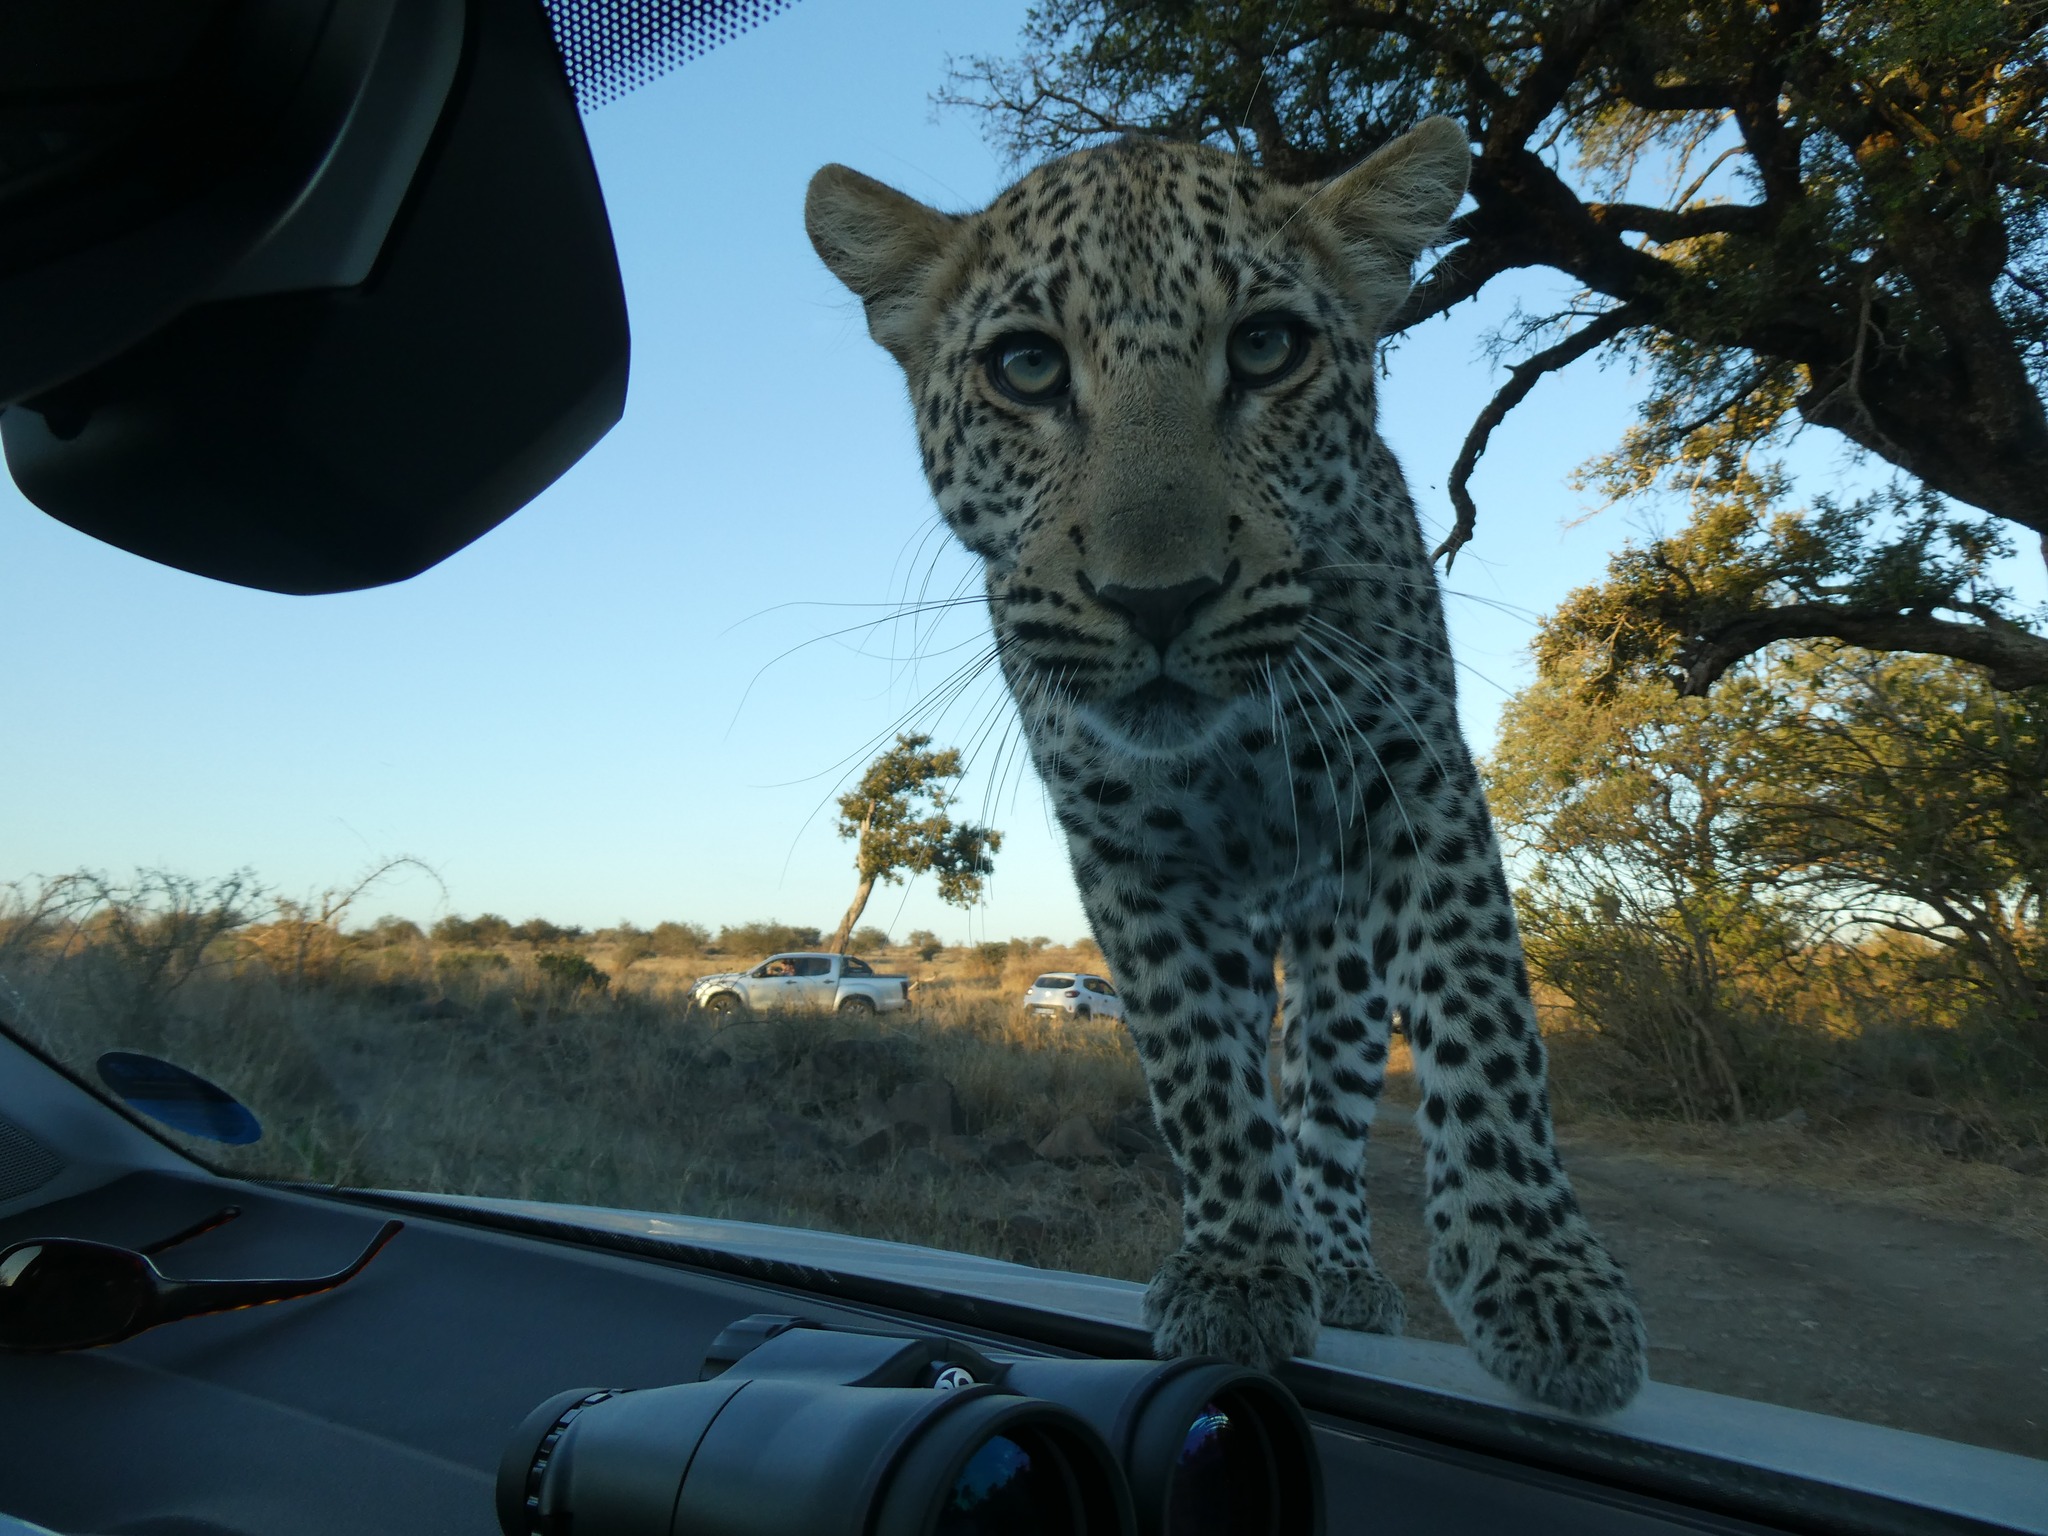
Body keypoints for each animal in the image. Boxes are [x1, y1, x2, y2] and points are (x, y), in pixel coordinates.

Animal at [804, 116, 1647, 1415]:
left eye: (1264, 347)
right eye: (1026, 368)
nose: (1157, 600)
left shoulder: (1417, 787)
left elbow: (1483, 1018)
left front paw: (1540, 1276)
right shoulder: (1128, 852)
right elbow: (1198, 1070)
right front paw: (1239, 1266)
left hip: (1335, 949)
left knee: (1330, 1099)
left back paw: (1343, 1263)